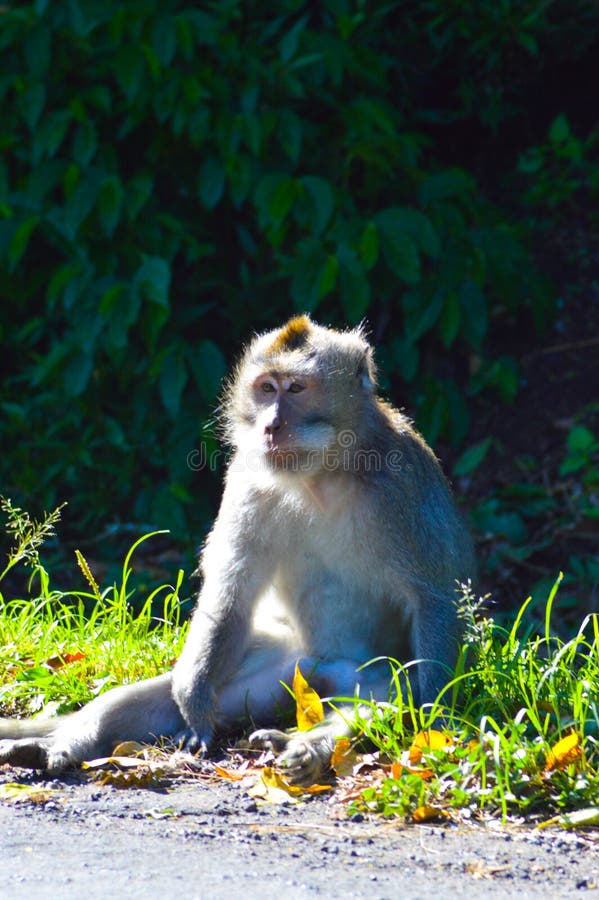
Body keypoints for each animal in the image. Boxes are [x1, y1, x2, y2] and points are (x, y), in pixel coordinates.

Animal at [0, 316, 476, 784]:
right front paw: (192, 697)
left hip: (356, 673)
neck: (321, 475)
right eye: (266, 388)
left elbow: (432, 597)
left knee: (383, 696)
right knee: (156, 692)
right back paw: (56, 747)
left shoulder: (402, 484)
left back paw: (305, 748)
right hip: (277, 662)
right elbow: (233, 587)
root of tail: (321, 671)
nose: (270, 425)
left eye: (296, 389)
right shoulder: (250, 481)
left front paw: (437, 718)